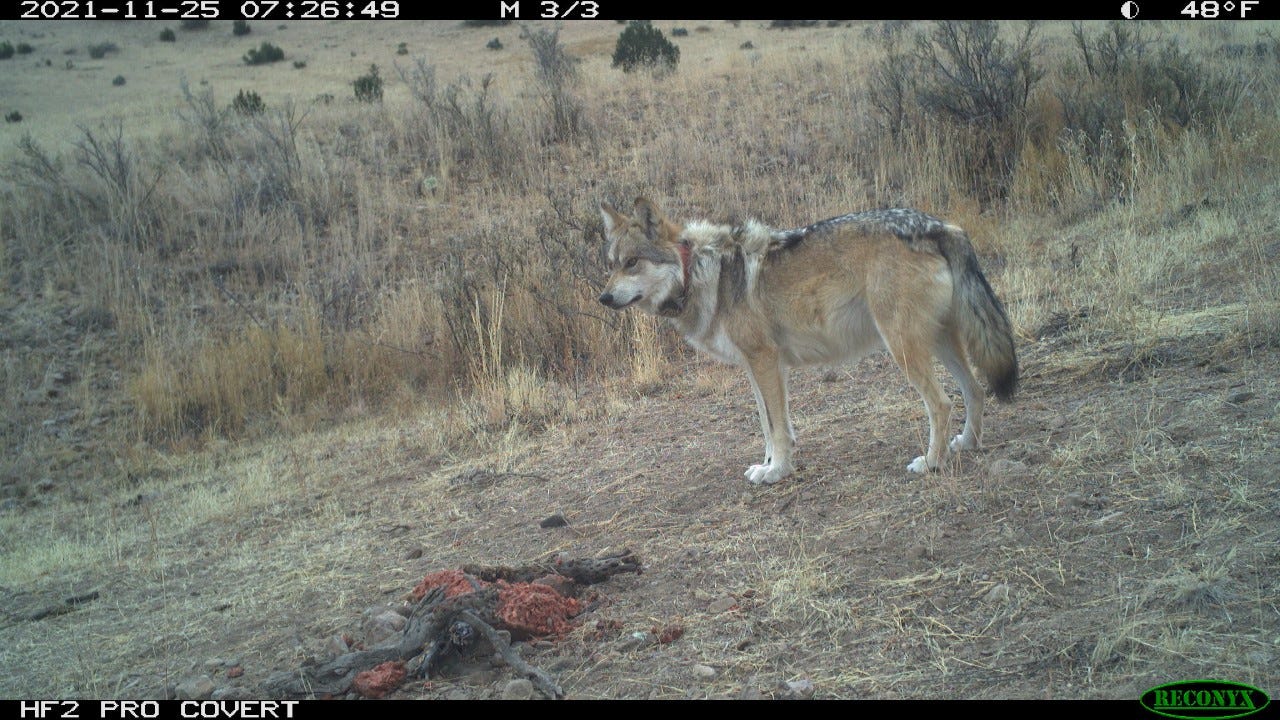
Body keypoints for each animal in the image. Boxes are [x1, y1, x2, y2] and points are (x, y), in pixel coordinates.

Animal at [597, 197, 1018, 484]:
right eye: (612, 265)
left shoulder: (765, 361)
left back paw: (931, 462)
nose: (603, 298)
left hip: (903, 348)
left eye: (632, 263)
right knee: (975, 390)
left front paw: (777, 472)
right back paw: (966, 444)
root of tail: (940, 225)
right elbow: (770, 424)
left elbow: (777, 428)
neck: (701, 272)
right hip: (940, 342)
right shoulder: (759, 367)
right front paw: (768, 464)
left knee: (942, 404)